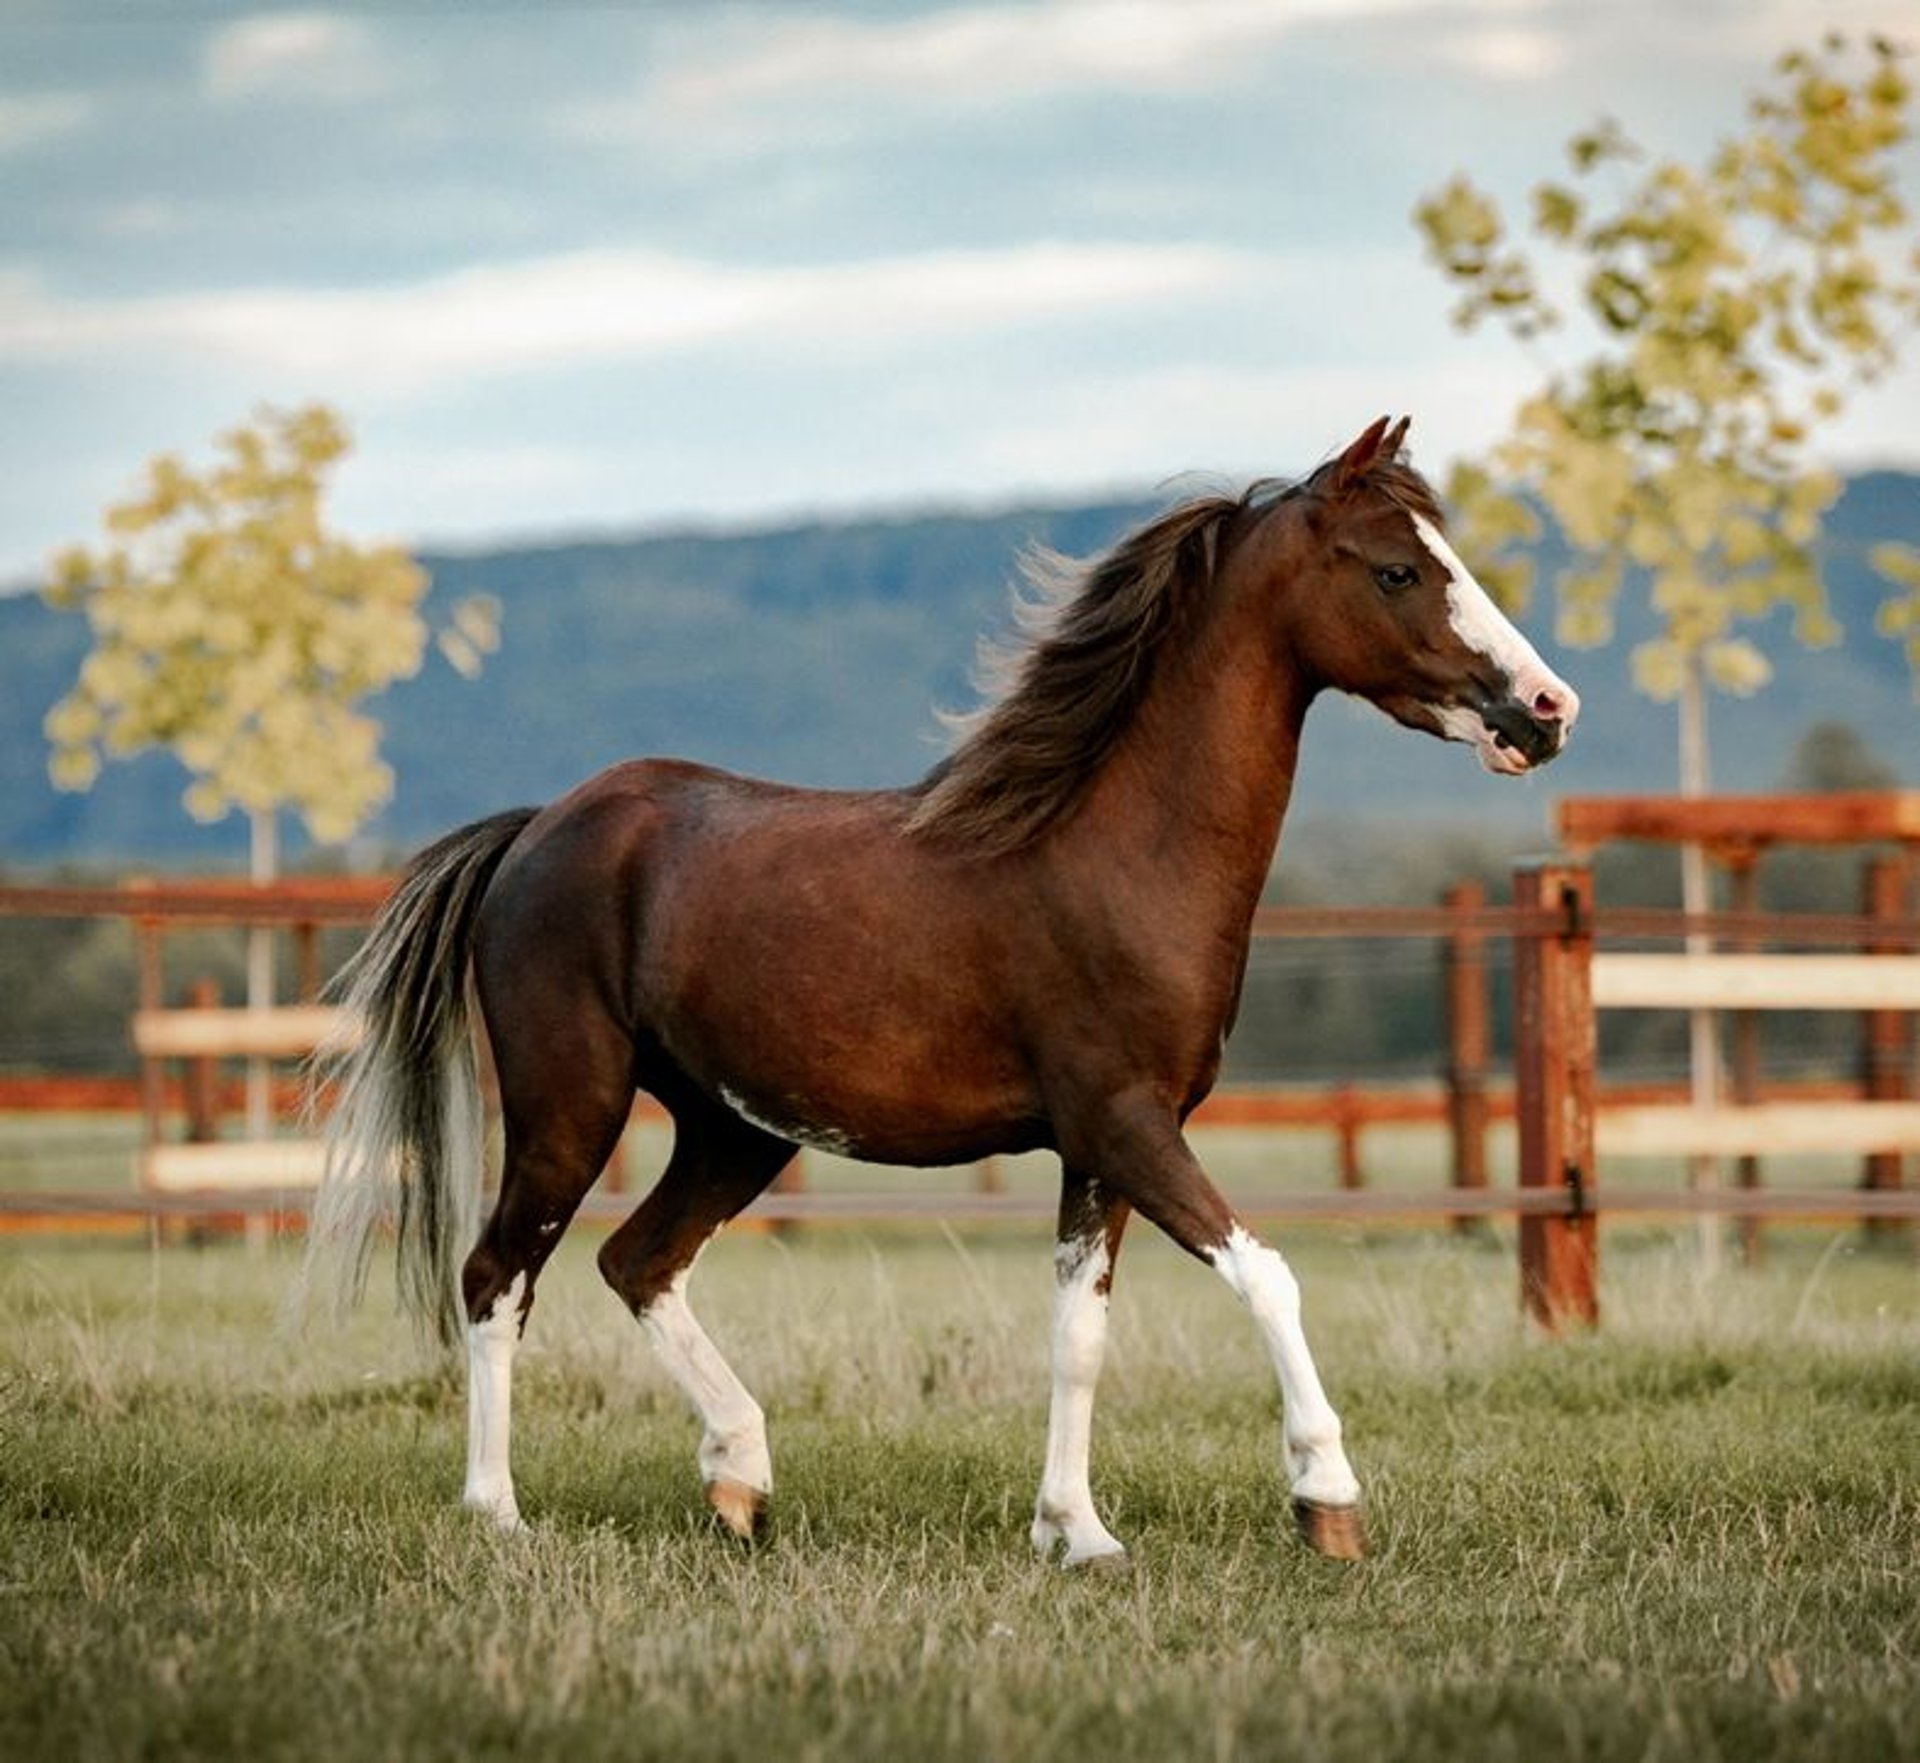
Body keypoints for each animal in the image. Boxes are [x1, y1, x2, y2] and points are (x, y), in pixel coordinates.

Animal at [308, 416, 1578, 1567]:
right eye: (1398, 567)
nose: (1547, 709)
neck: (1115, 851)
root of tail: (539, 829)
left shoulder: (1098, 1149)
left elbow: (1079, 1334)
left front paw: (1076, 1532)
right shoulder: (1131, 1123)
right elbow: (1267, 1275)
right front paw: (1327, 1500)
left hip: (734, 1127)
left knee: (640, 1262)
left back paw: (742, 1479)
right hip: (572, 1105)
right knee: (497, 1277)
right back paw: (500, 1515)